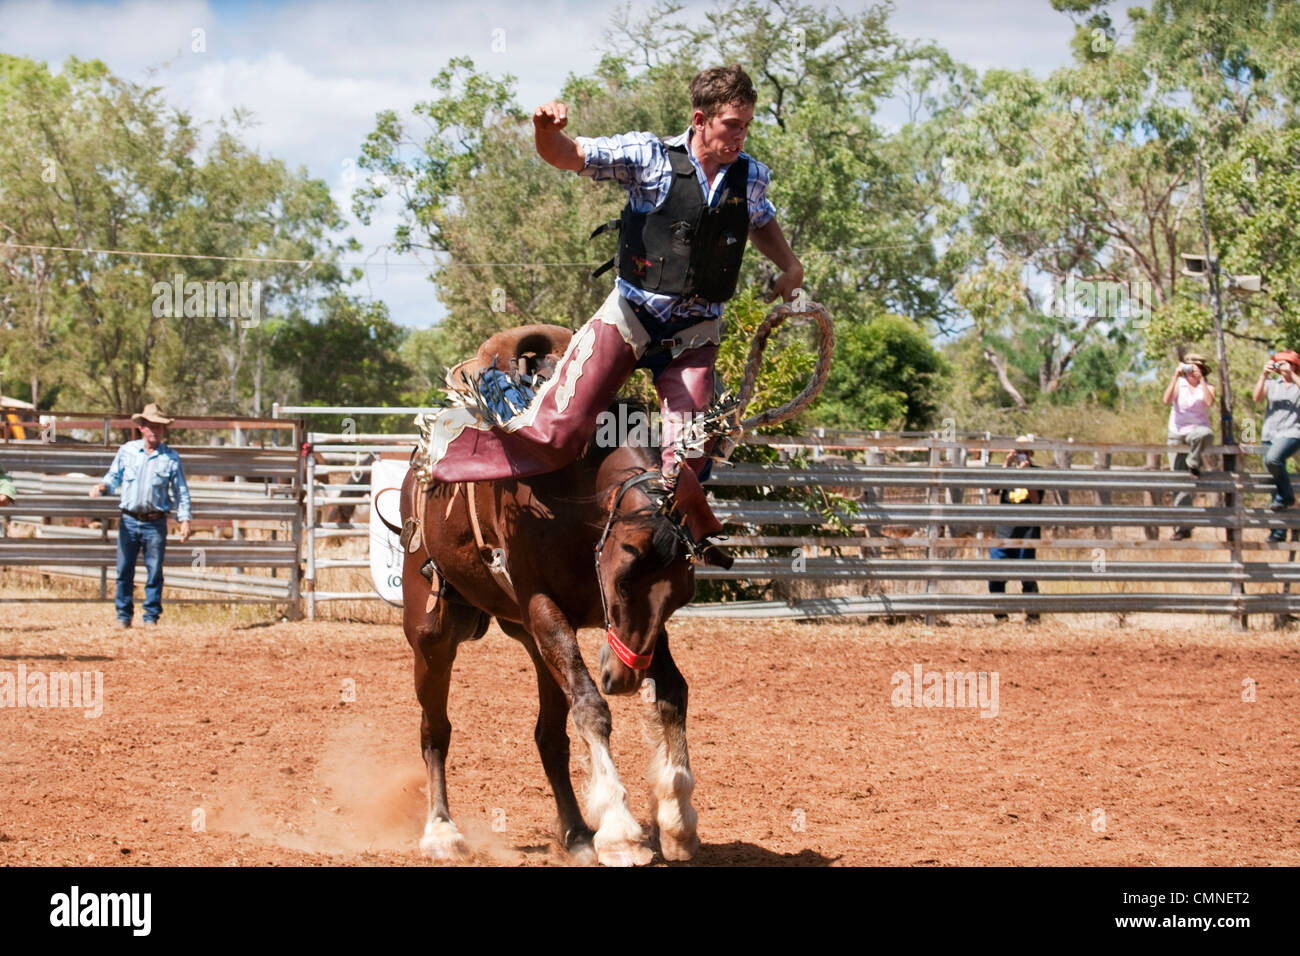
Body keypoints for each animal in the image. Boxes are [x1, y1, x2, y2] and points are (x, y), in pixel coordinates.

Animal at [394, 405, 704, 866]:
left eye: (682, 596)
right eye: (624, 582)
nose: (624, 679)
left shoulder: (641, 635)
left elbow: (672, 694)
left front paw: (677, 819)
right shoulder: (544, 608)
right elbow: (592, 708)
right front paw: (621, 832)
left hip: (537, 646)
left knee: (550, 737)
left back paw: (576, 832)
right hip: (433, 637)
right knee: (435, 731)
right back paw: (441, 830)